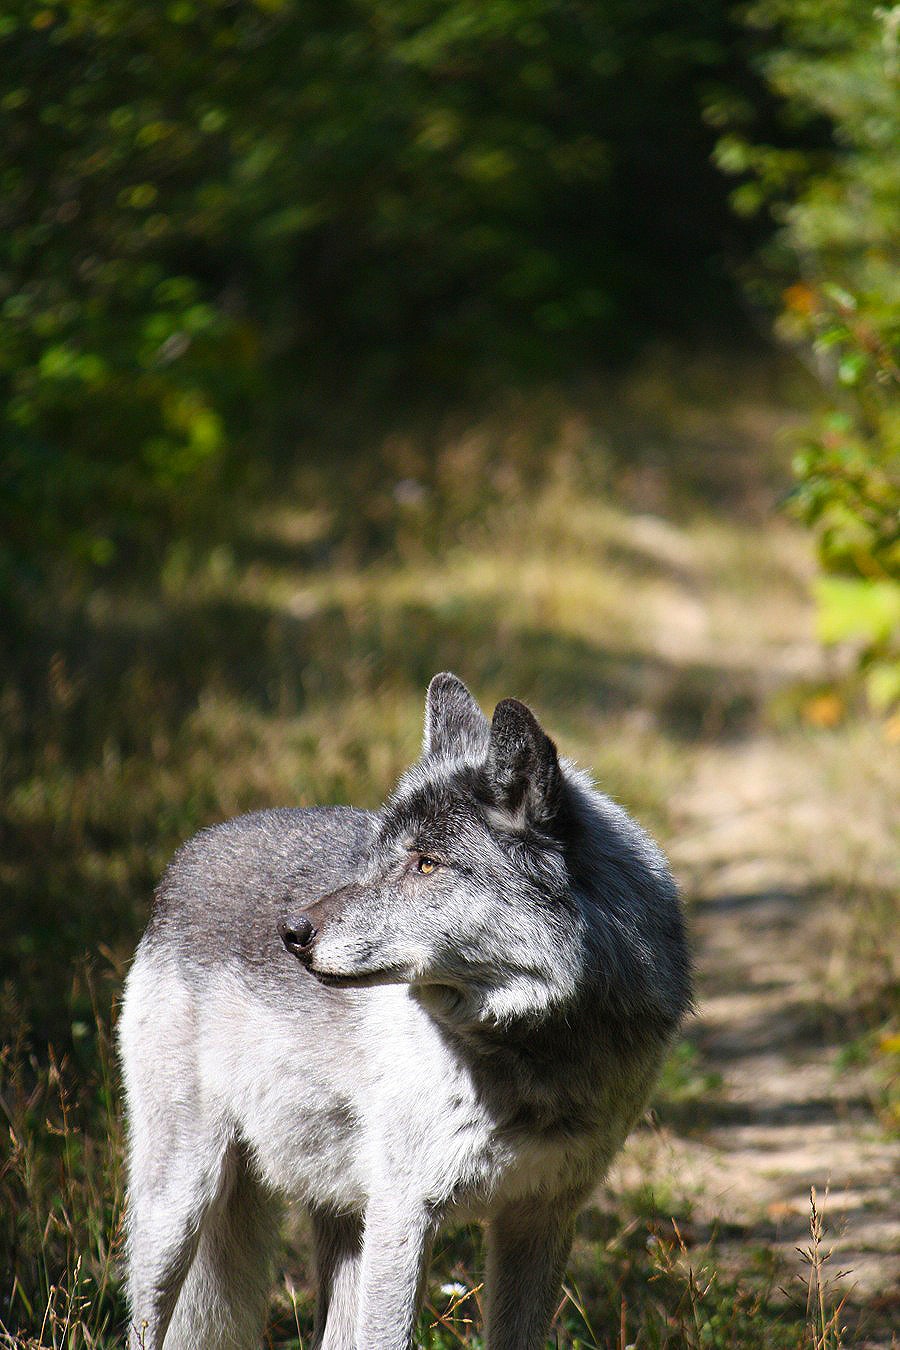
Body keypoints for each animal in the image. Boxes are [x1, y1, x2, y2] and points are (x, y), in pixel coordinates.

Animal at [119, 673, 691, 1349]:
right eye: (378, 856)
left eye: (426, 864)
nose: (292, 933)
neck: (533, 1051)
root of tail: (190, 852)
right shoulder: (403, 1213)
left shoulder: (540, 1217)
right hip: (180, 1203)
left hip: (337, 1219)